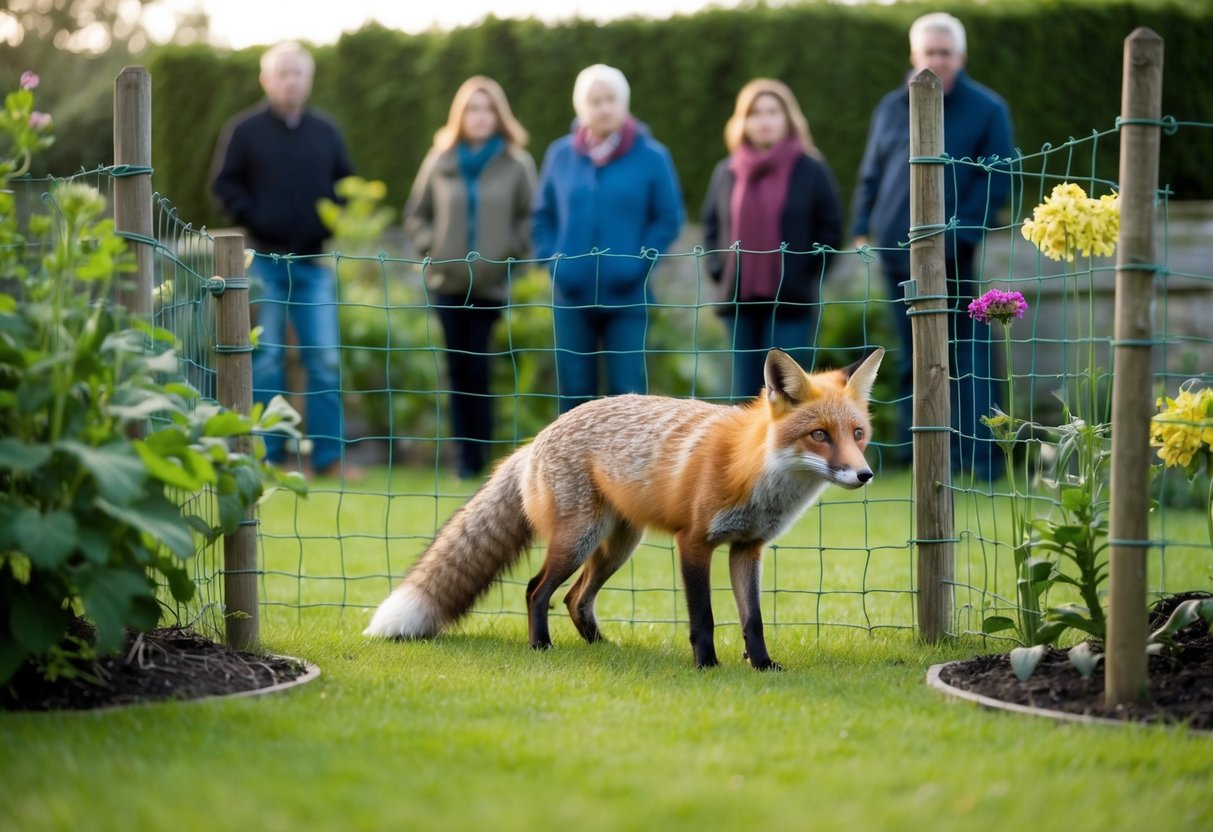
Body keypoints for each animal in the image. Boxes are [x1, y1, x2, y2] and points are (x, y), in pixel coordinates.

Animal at [364, 347, 884, 670]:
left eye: (857, 434)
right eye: (819, 435)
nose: (864, 475)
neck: (753, 470)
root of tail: (536, 438)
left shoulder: (747, 548)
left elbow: (752, 620)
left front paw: (762, 665)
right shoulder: (694, 543)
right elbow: (704, 618)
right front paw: (707, 666)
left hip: (616, 547)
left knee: (575, 599)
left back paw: (604, 649)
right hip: (578, 540)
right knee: (537, 591)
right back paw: (541, 646)